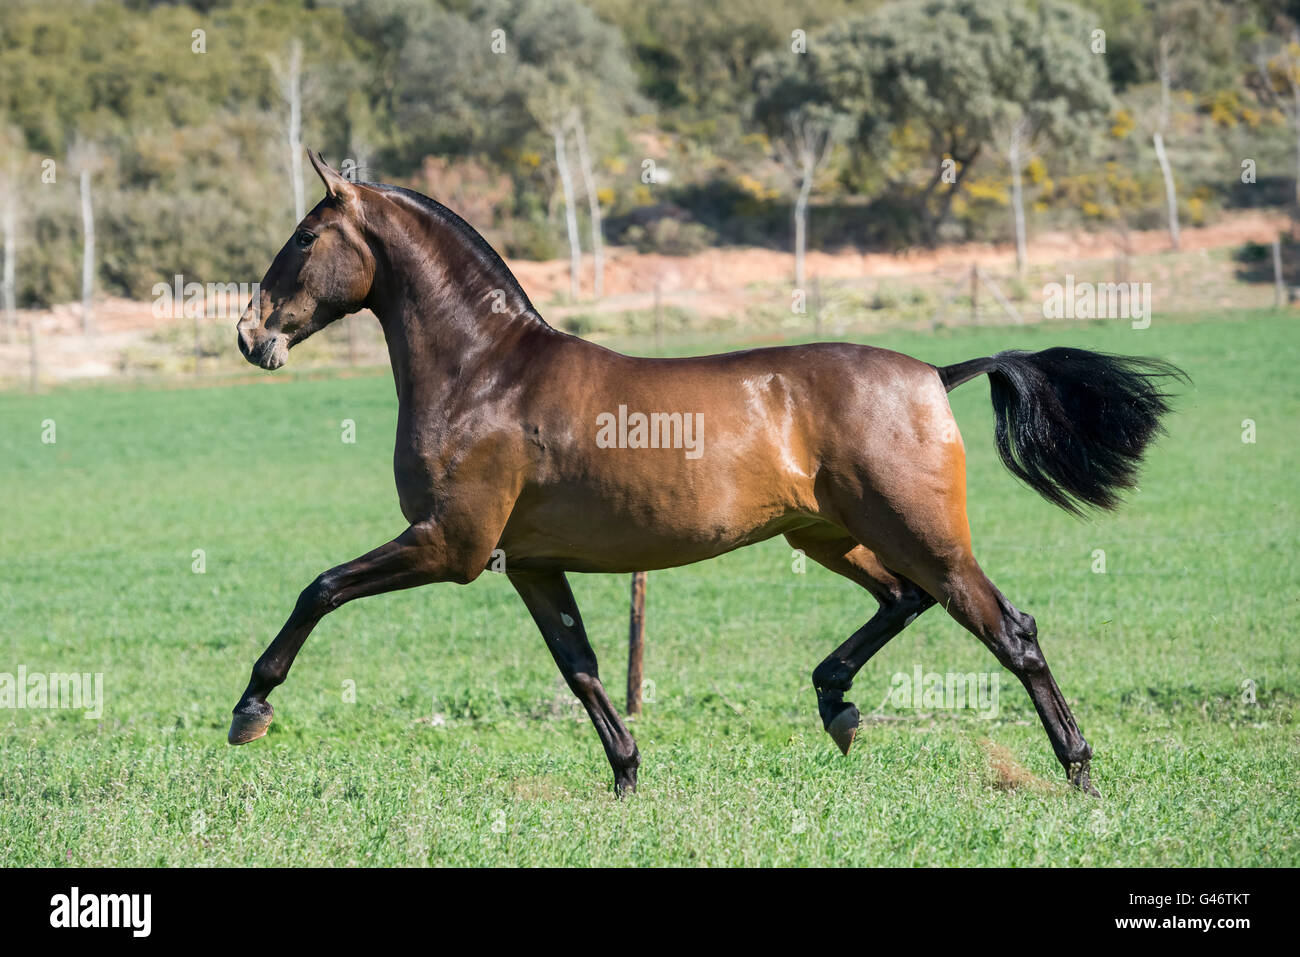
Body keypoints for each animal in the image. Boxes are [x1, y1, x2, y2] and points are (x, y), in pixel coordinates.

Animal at [230, 151, 1185, 797]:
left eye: (306, 236)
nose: (251, 334)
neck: (486, 372)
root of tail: (932, 374)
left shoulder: (448, 546)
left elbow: (320, 587)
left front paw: (250, 709)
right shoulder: (529, 564)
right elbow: (582, 668)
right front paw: (626, 775)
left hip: (924, 536)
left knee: (1010, 630)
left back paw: (1078, 769)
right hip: (830, 534)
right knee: (900, 599)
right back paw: (836, 703)